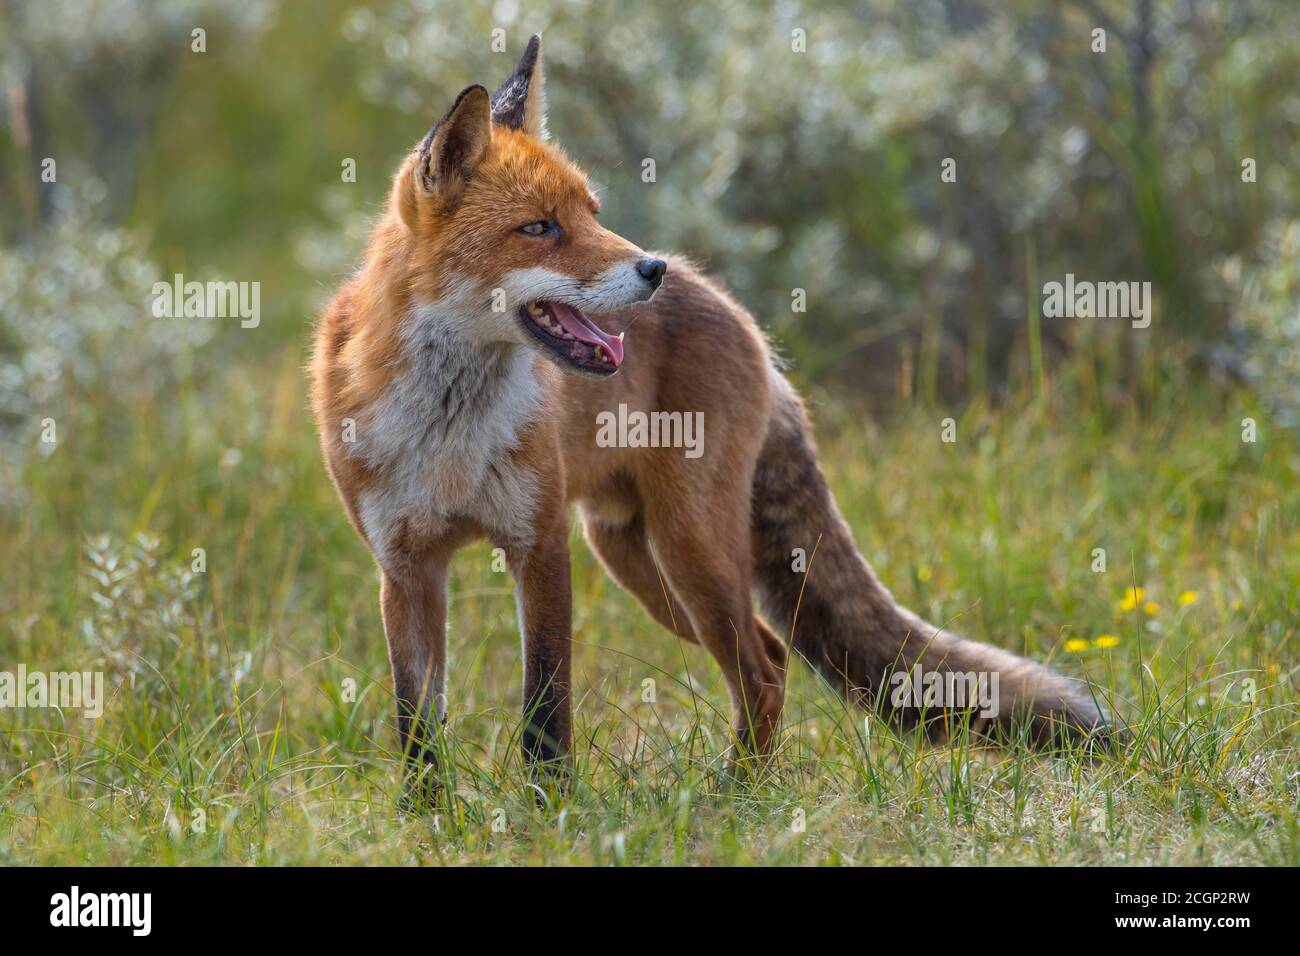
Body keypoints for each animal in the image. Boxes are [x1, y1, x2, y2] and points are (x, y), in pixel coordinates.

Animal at [310, 35, 1109, 801]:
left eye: (592, 212)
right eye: (538, 228)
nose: (653, 269)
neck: (449, 433)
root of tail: (740, 313)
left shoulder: (539, 546)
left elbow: (545, 706)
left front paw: (547, 809)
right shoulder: (405, 566)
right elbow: (416, 720)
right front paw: (426, 815)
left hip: (688, 547)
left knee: (763, 664)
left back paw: (738, 793)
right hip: (636, 558)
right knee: (773, 653)